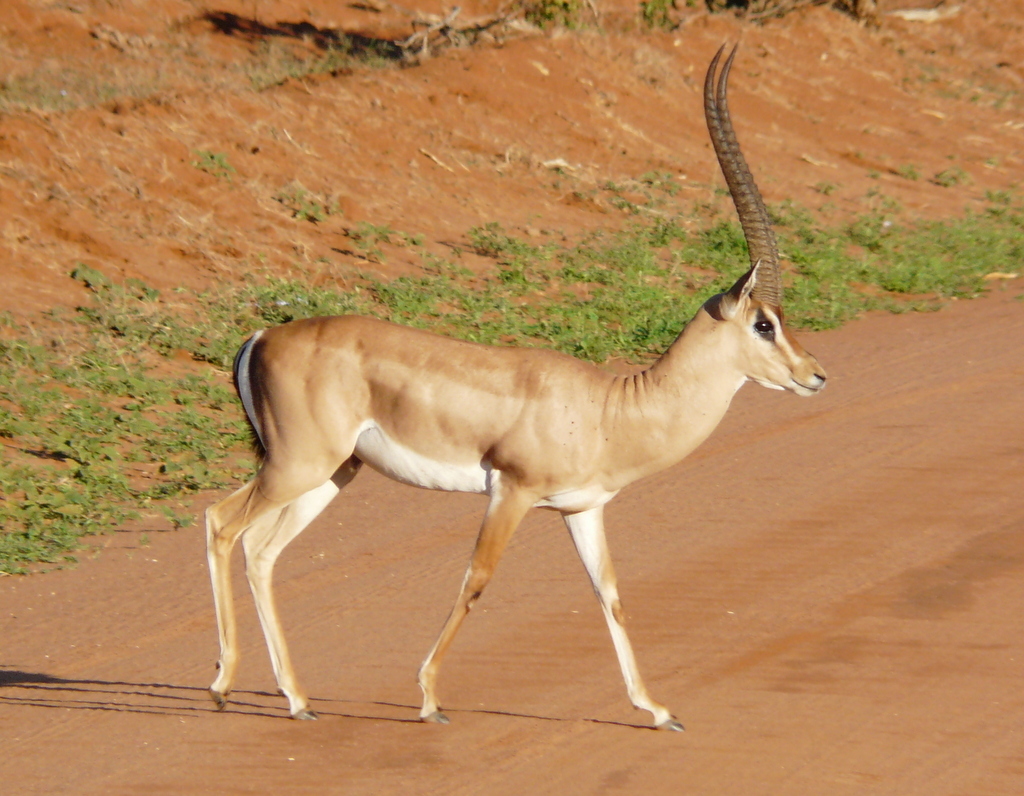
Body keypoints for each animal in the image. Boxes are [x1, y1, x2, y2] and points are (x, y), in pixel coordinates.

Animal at [205, 44, 826, 731]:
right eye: (764, 323)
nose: (814, 375)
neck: (609, 409)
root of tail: (262, 335)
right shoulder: (511, 492)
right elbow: (476, 580)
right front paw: (429, 700)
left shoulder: (583, 509)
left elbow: (610, 594)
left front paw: (658, 709)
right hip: (297, 466)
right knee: (223, 524)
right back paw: (224, 687)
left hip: (329, 473)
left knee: (261, 549)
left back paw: (296, 698)